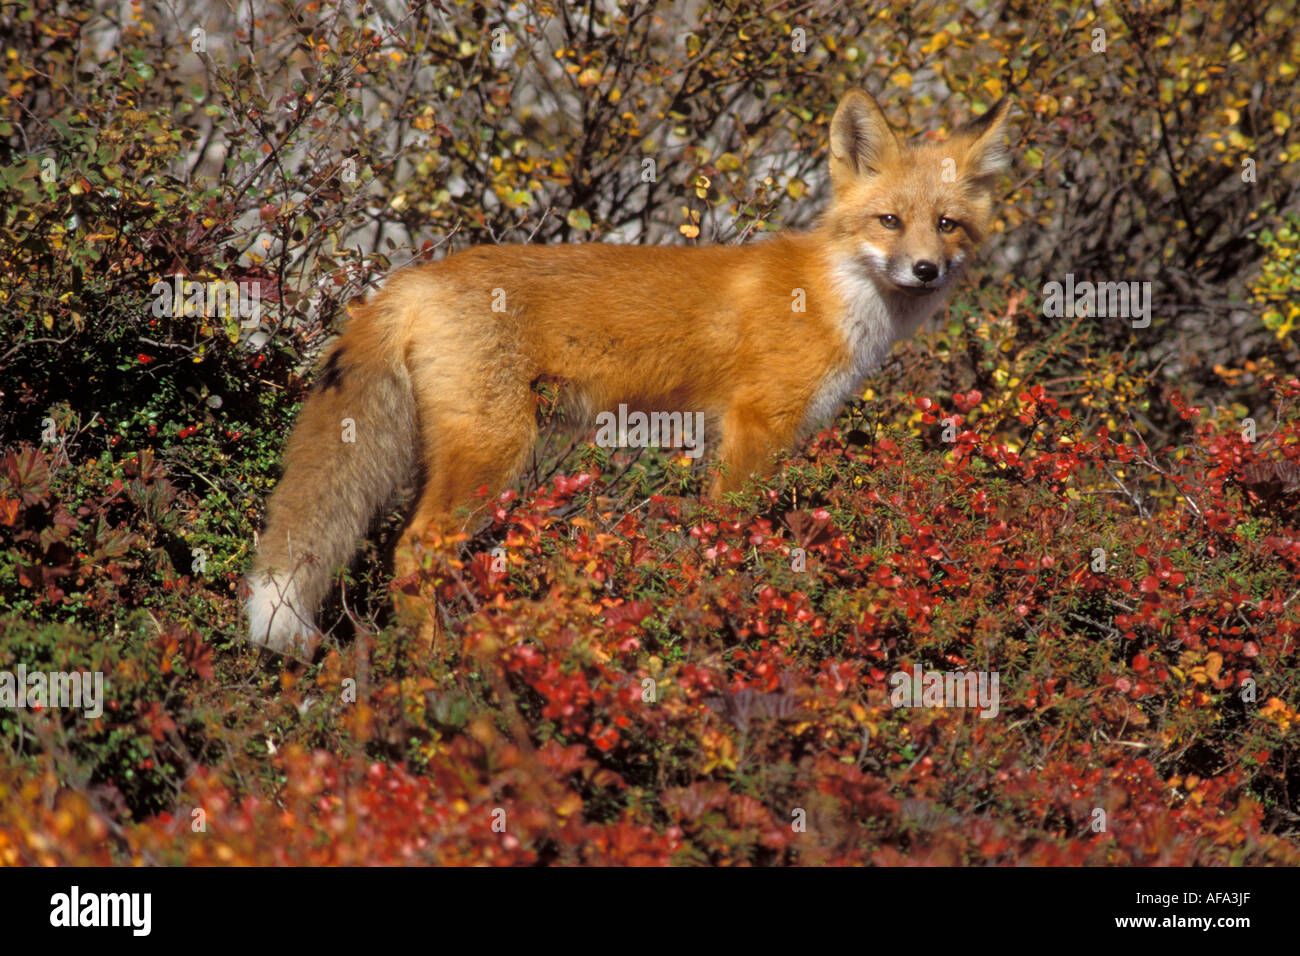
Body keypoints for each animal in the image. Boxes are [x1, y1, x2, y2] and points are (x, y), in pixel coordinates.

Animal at [245, 89, 1012, 655]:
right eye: (889, 221)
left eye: (947, 225)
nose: (926, 270)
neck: (834, 295)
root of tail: (413, 278)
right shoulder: (755, 424)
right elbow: (730, 530)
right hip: (496, 453)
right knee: (412, 551)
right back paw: (437, 665)